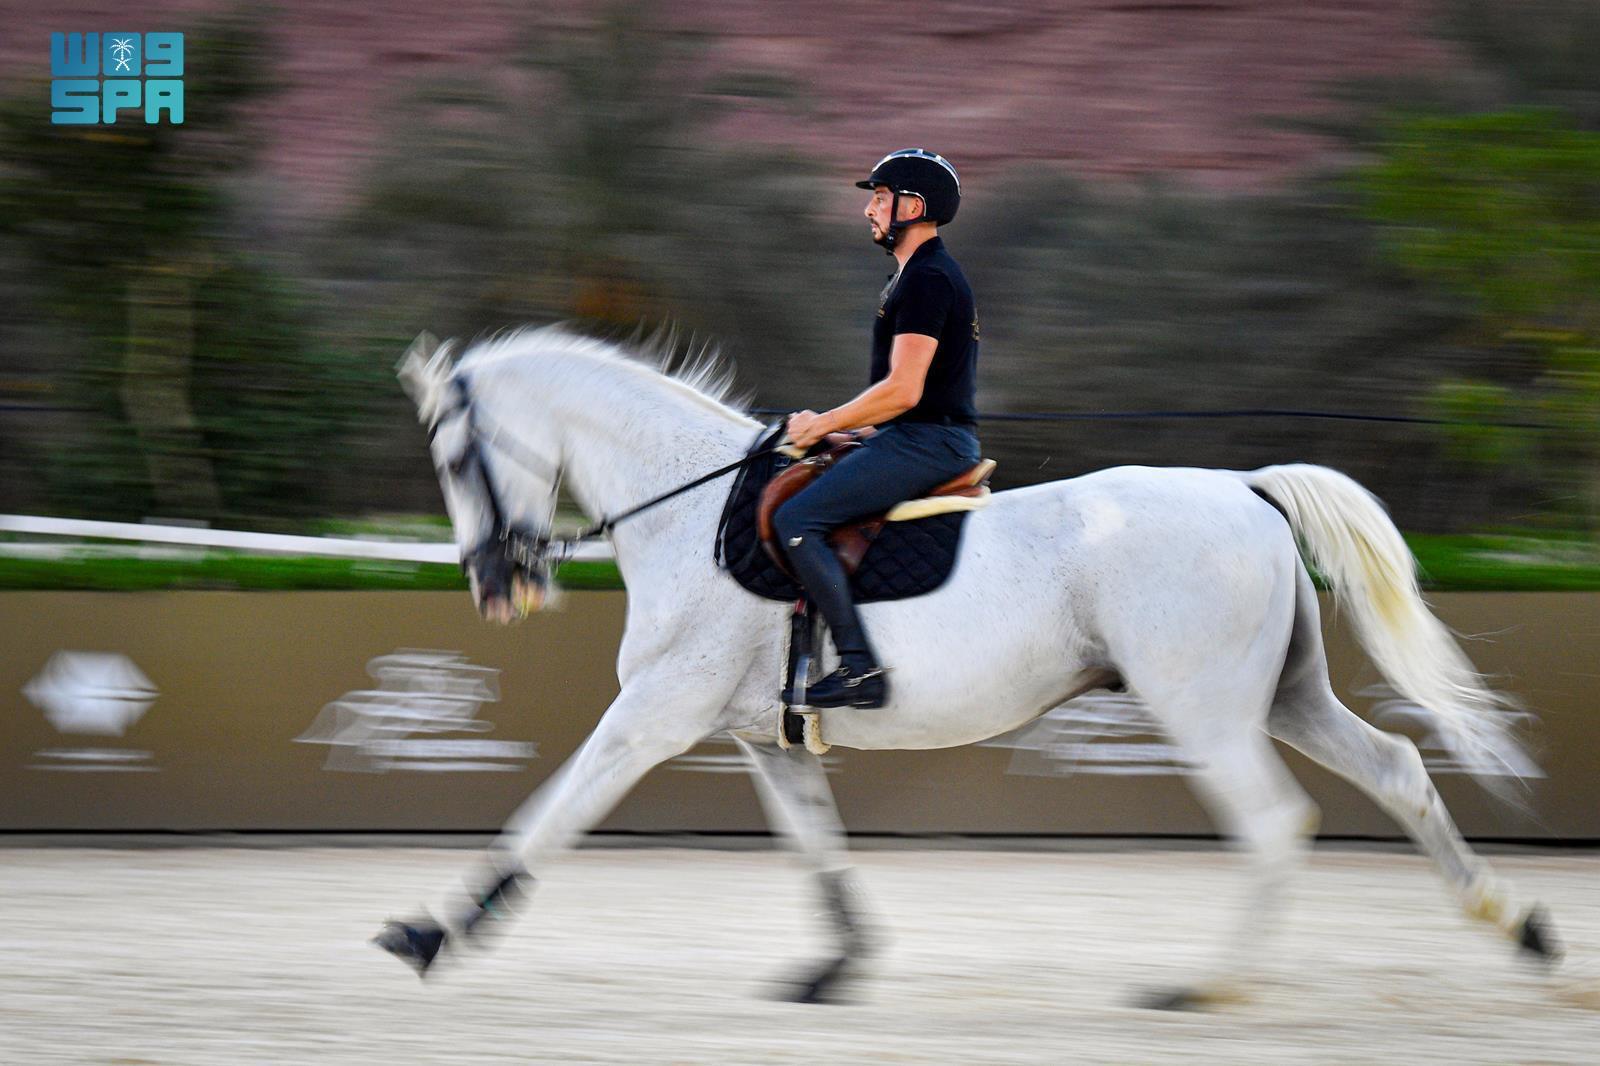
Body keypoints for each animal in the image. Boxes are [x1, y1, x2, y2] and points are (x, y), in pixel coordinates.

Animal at [382, 324, 1560, 1008]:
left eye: (452, 455)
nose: (493, 583)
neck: (689, 511)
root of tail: (1245, 487)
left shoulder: (652, 717)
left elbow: (550, 812)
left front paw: (435, 929)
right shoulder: (764, 737)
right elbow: (816, 844)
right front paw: (840, 965)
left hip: (1205, 709)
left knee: (1273, 822)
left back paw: (1208, 989)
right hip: (1284, 695)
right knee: (1398, 769)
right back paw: (1522, 928)